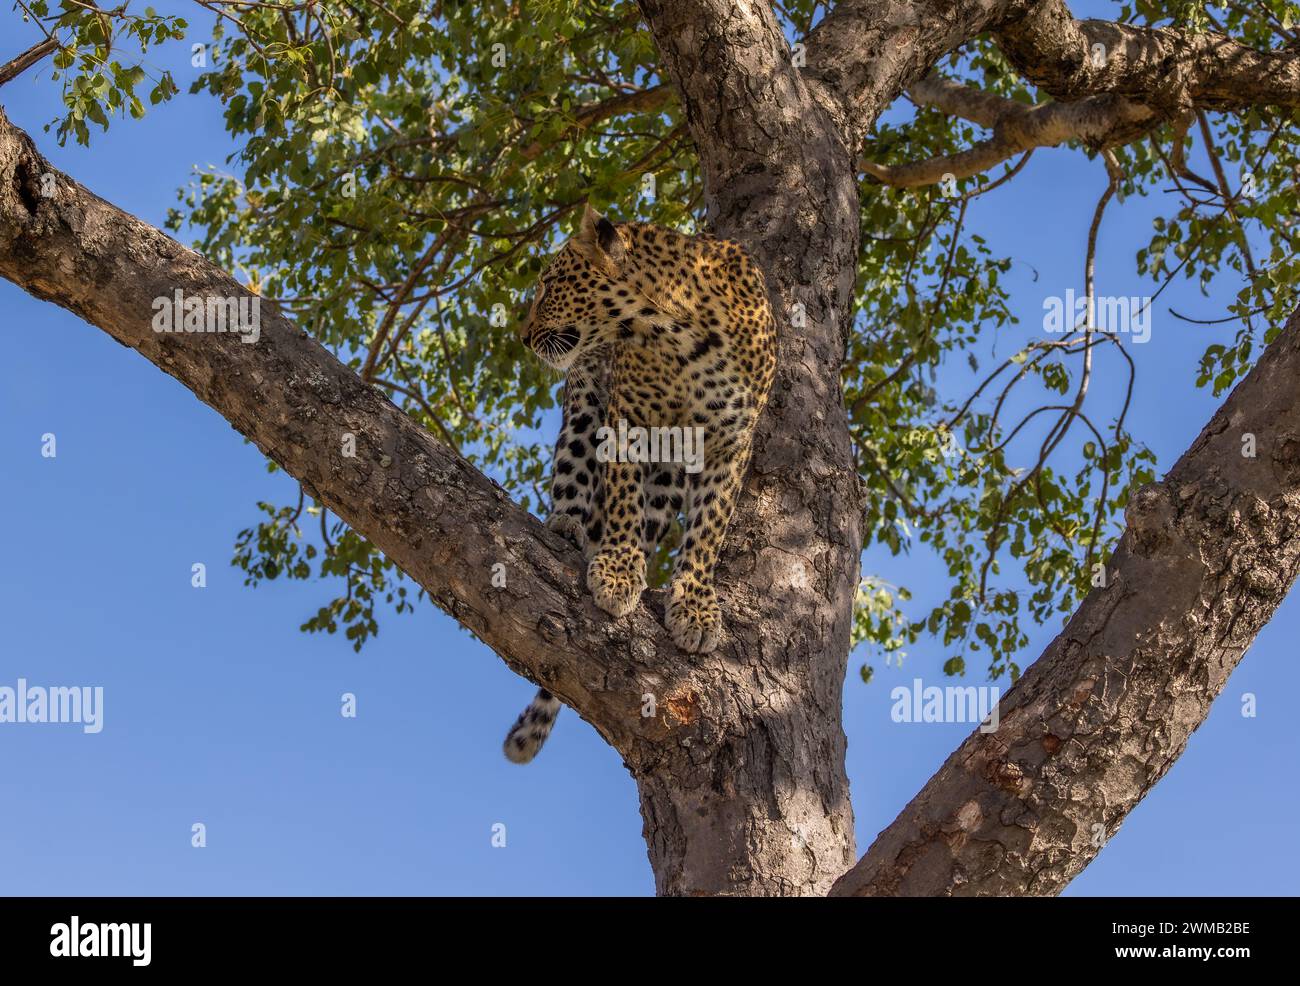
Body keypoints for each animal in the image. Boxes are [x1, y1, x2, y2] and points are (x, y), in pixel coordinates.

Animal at [503, 203, 776, 764]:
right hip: (586, 406)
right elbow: (623, 499)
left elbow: (708, 530)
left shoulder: (731, 442)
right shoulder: (626, 418)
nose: (522, 335)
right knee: (578, 480)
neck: (683, 335)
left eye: (549, 285)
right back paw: (568, 529)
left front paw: (694, 607)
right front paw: (616, 571)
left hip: (670, 469)